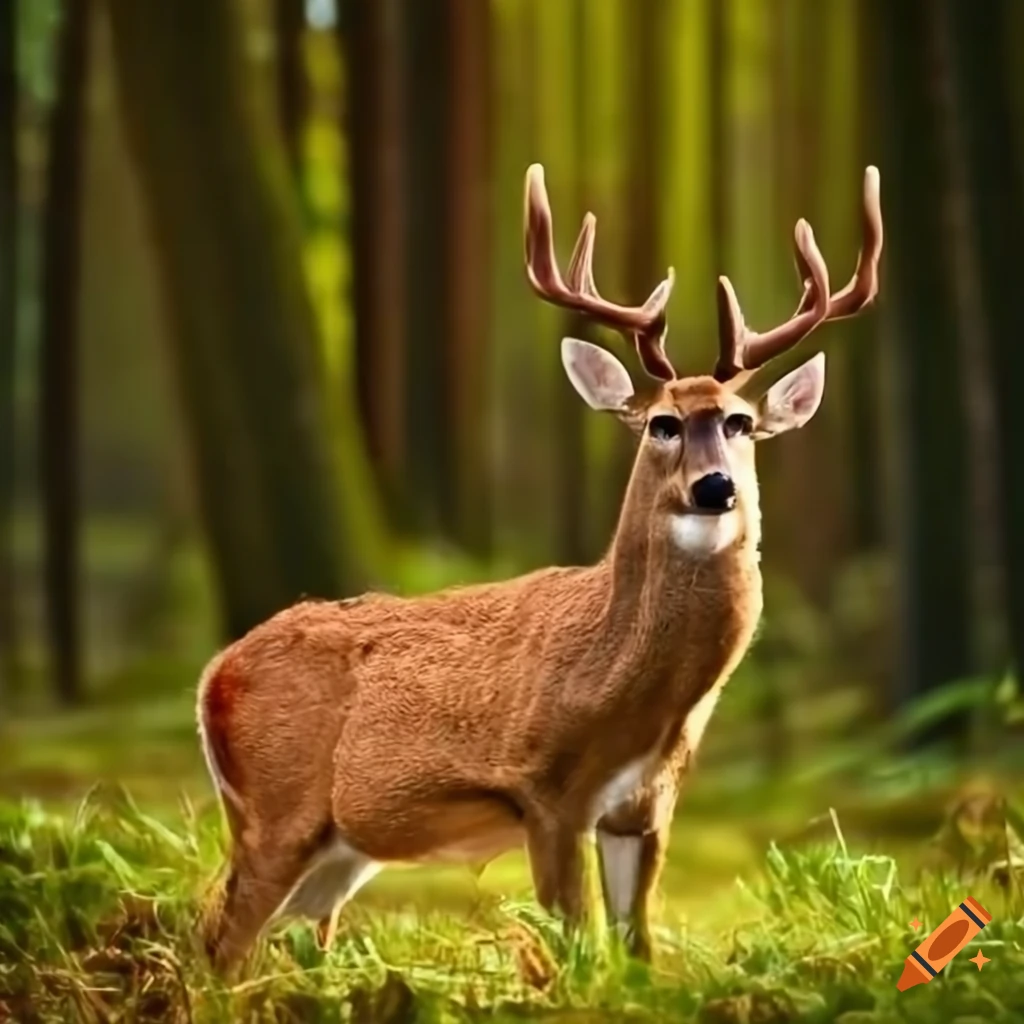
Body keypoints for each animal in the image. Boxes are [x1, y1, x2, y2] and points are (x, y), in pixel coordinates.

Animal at [196, 162, 883, 974]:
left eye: (741, 422)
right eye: (663, 423)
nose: (716, 486)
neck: (633, 698)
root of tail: (214, 672)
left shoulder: (646, 808)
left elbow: (637, 949)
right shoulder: (545, 790)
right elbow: (579, 947)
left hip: (337, 847)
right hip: (276, 808)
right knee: (220, 939)